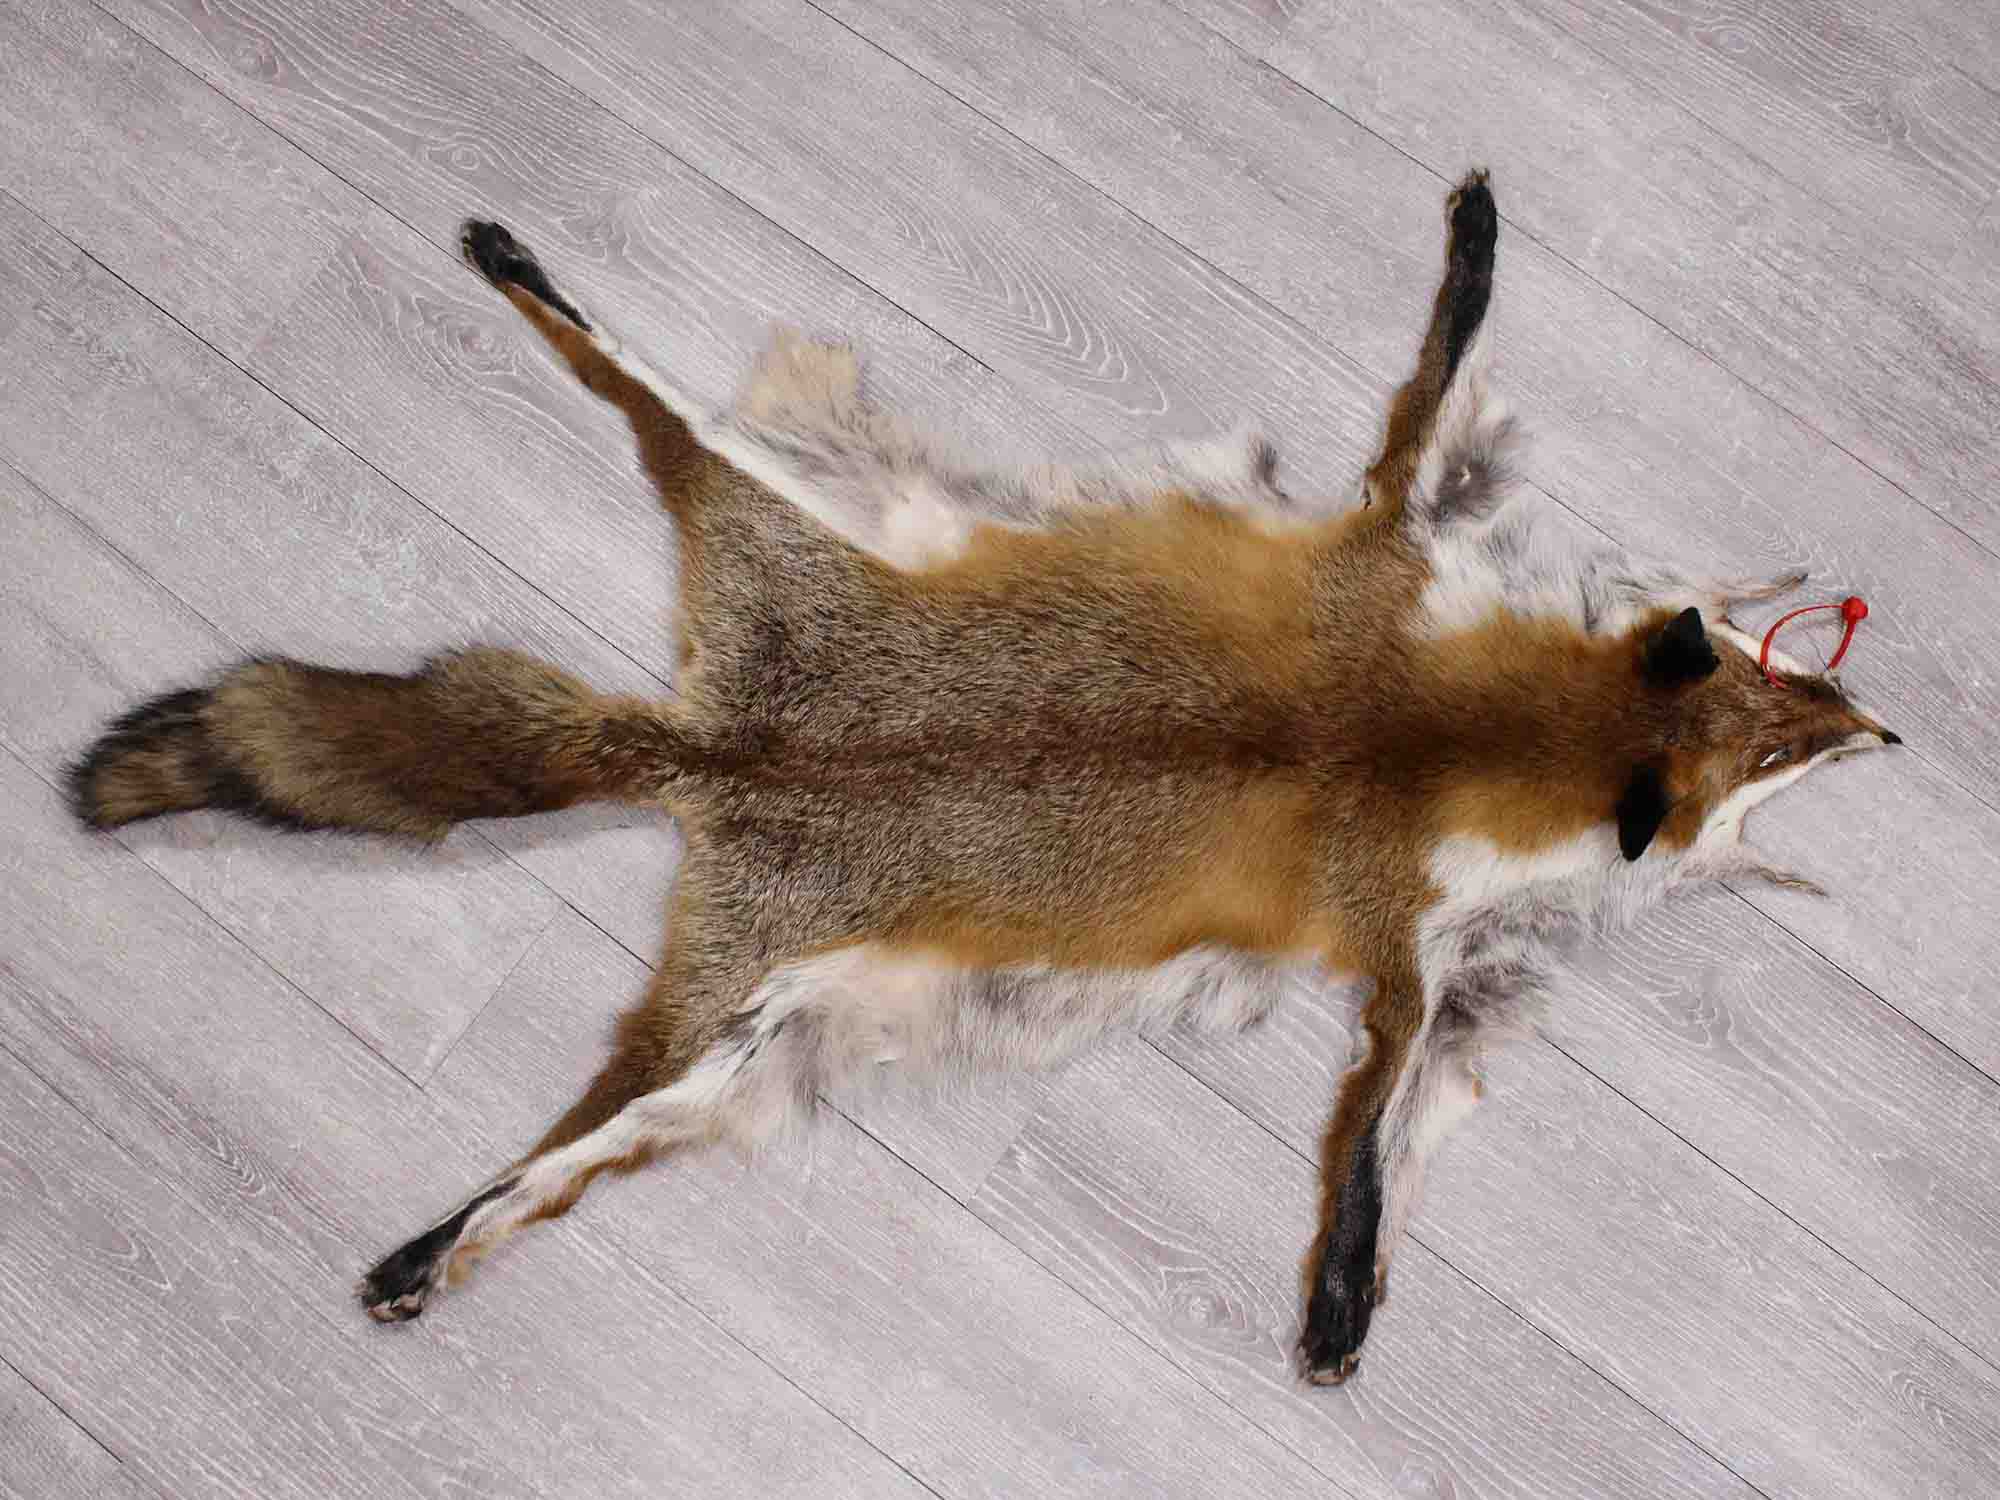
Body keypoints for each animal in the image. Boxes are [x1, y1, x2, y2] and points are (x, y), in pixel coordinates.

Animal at [66, 171, 1898, 1385]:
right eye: (1780, 719)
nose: (1881, 731)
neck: (1431, 734)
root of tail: (710, 743)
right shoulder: (1396, 920)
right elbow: (1374, 1144)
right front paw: (1341, 1301)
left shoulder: (1394, 594)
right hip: (730, 1004)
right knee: (564, 1150)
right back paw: (431, 1248)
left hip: (750, 603)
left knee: (637, 401)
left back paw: (517, 263)